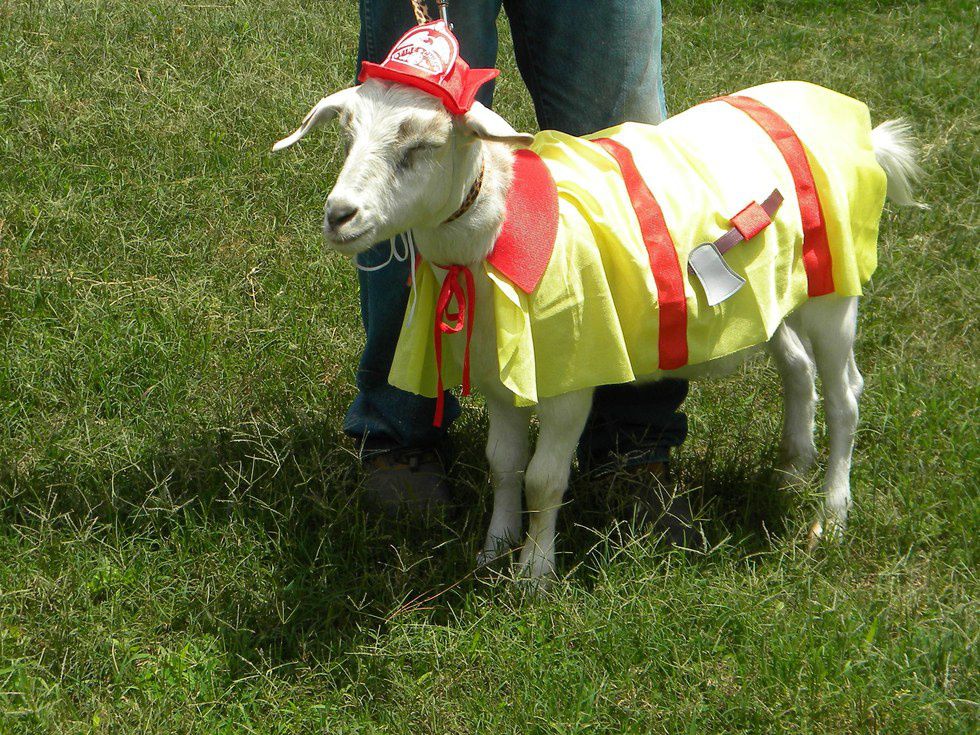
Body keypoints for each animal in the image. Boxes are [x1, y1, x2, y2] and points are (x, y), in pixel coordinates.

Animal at [274, 78, 922, 580]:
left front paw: (534, 574)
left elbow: (543, 479)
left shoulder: (570, 374)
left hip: (835, 291)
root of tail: (865, 134)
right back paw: (791, 466)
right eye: (347, 135)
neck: (493, 237)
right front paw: (493, 550)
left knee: (845, 396)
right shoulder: (496, 371)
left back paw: (831, 515)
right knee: (796, 367)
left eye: (424, 143)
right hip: (773, 297)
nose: (339, 216)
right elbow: (503, 462)